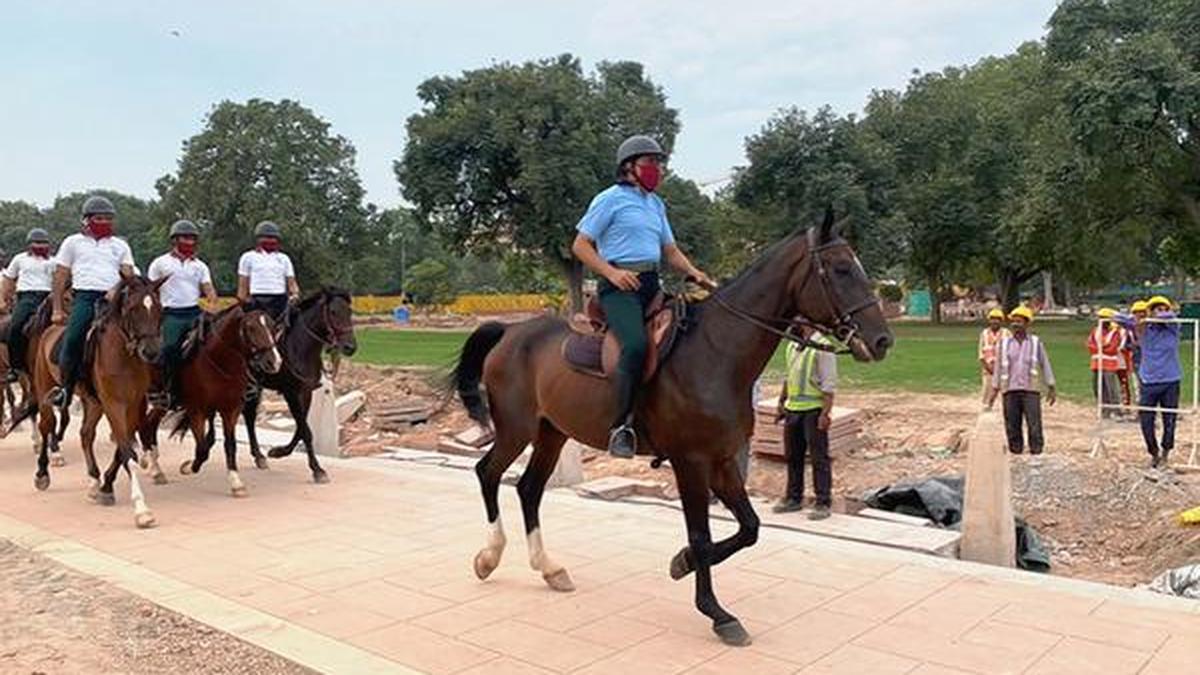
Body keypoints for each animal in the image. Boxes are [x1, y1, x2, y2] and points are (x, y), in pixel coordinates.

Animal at [20, 276, 167, 528]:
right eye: (133, 309)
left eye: (159, 308)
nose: (151, 351)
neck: (123, 355)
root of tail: (51, 330)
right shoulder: (114, 404)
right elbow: (126, 450)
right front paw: (142, 509)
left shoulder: (134, 405)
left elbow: (123, 447)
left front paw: (106, 486)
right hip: (44, 390)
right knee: (47, 426)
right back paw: (43, 473)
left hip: (94, 402)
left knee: (86, 434)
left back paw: (93, 481)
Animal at [138, 306, 282, 496]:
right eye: (250, 328)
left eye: (273, 326)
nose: (275, 361)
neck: (218, 361)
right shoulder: (197, 411)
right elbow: (202, 449)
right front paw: (189, 466)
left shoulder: (230, 410)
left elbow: (229, 445)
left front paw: (236, 482)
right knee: (143, 425)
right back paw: (152, 466)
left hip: (161, 405)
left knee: (149, 425)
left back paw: (153, 465)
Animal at [241, 287, 357, 483]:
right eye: (333, 312)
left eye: (350, 311)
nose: (350, 347)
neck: (300, 348)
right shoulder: (291, 393)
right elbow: (305, 430)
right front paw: (318, 470)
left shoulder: (305, 392)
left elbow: (301, 428)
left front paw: (279, 451)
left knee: (249, 417)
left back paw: (259, 456)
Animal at [449, 214, 893, 646]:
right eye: (841, 269)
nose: (882, 340)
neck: (716, 353)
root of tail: (510, 332)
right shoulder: (690, 462)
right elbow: (701, 535)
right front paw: (717, 613)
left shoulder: (722, 460)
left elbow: (749, 528)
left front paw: (682, 563)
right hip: (517, 429)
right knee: (488, 473)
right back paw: (489, 557)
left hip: (551, 432)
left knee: (529, 489)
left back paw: (549, 568)